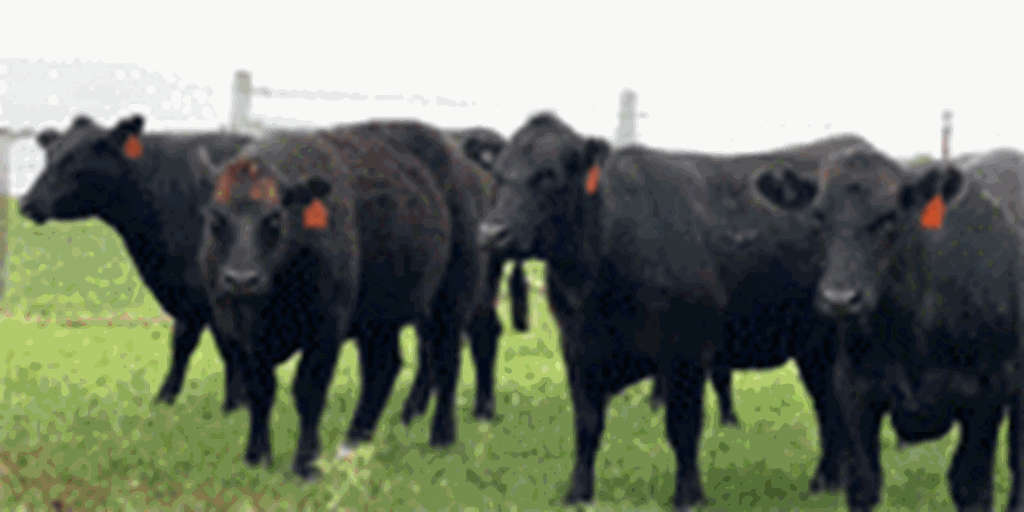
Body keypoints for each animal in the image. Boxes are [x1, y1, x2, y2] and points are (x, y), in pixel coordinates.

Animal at [20, 114, 252, 413]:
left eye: (75, 159)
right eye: (49, 155)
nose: (27, 202)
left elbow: (223, 346)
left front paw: (234, 406)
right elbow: (186, 342)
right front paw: (165, 401)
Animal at [475, 111, 852, 510]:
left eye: (548, 176)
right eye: (498, 173)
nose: (492, 233)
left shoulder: (686, 353)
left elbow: (683, 427)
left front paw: (688, 495)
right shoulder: (578, 351)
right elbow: (587, 426)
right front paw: (577, 493)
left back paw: (829, 480)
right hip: (814, 349)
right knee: (829, 408)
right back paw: (829, 482)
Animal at [811, 144, 1024, 512]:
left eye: (889, 217)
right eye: (818, 216)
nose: (839, 298)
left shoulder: (989, 392)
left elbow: (972, 487)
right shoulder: (854, 388)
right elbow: (863, 483)